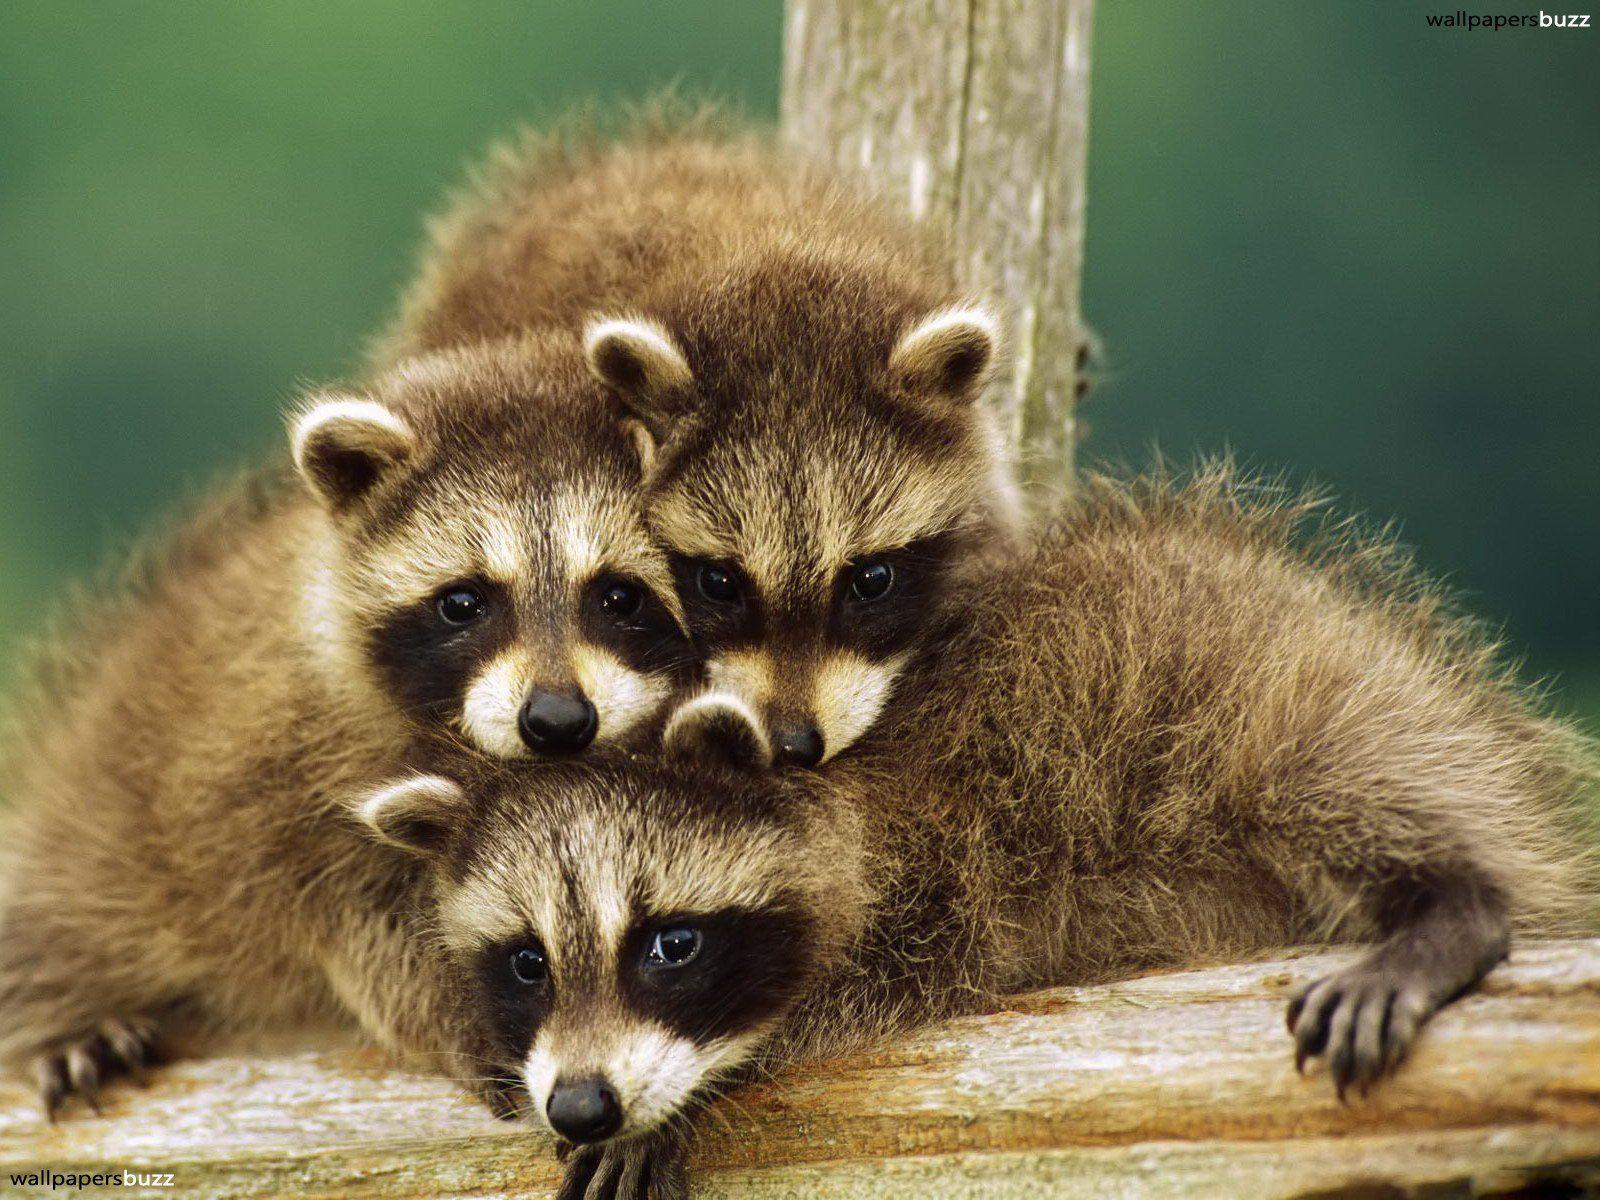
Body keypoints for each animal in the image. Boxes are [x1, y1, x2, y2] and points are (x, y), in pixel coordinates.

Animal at [0, 331, 692, 1115]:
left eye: (619, 595)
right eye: (464, 602)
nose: (556, 719)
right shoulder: (281, 777)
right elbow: (363, 926)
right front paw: (480, 1012)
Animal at [351, 466, 1593, 1199]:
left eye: (669, 944)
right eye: (525, 963)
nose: (581, 1101)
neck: (830, 790)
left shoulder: (947, 865)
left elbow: (854, 992)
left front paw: (692, 1092)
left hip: (1292, 694)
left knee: (1343, 783)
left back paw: (1454, 904)